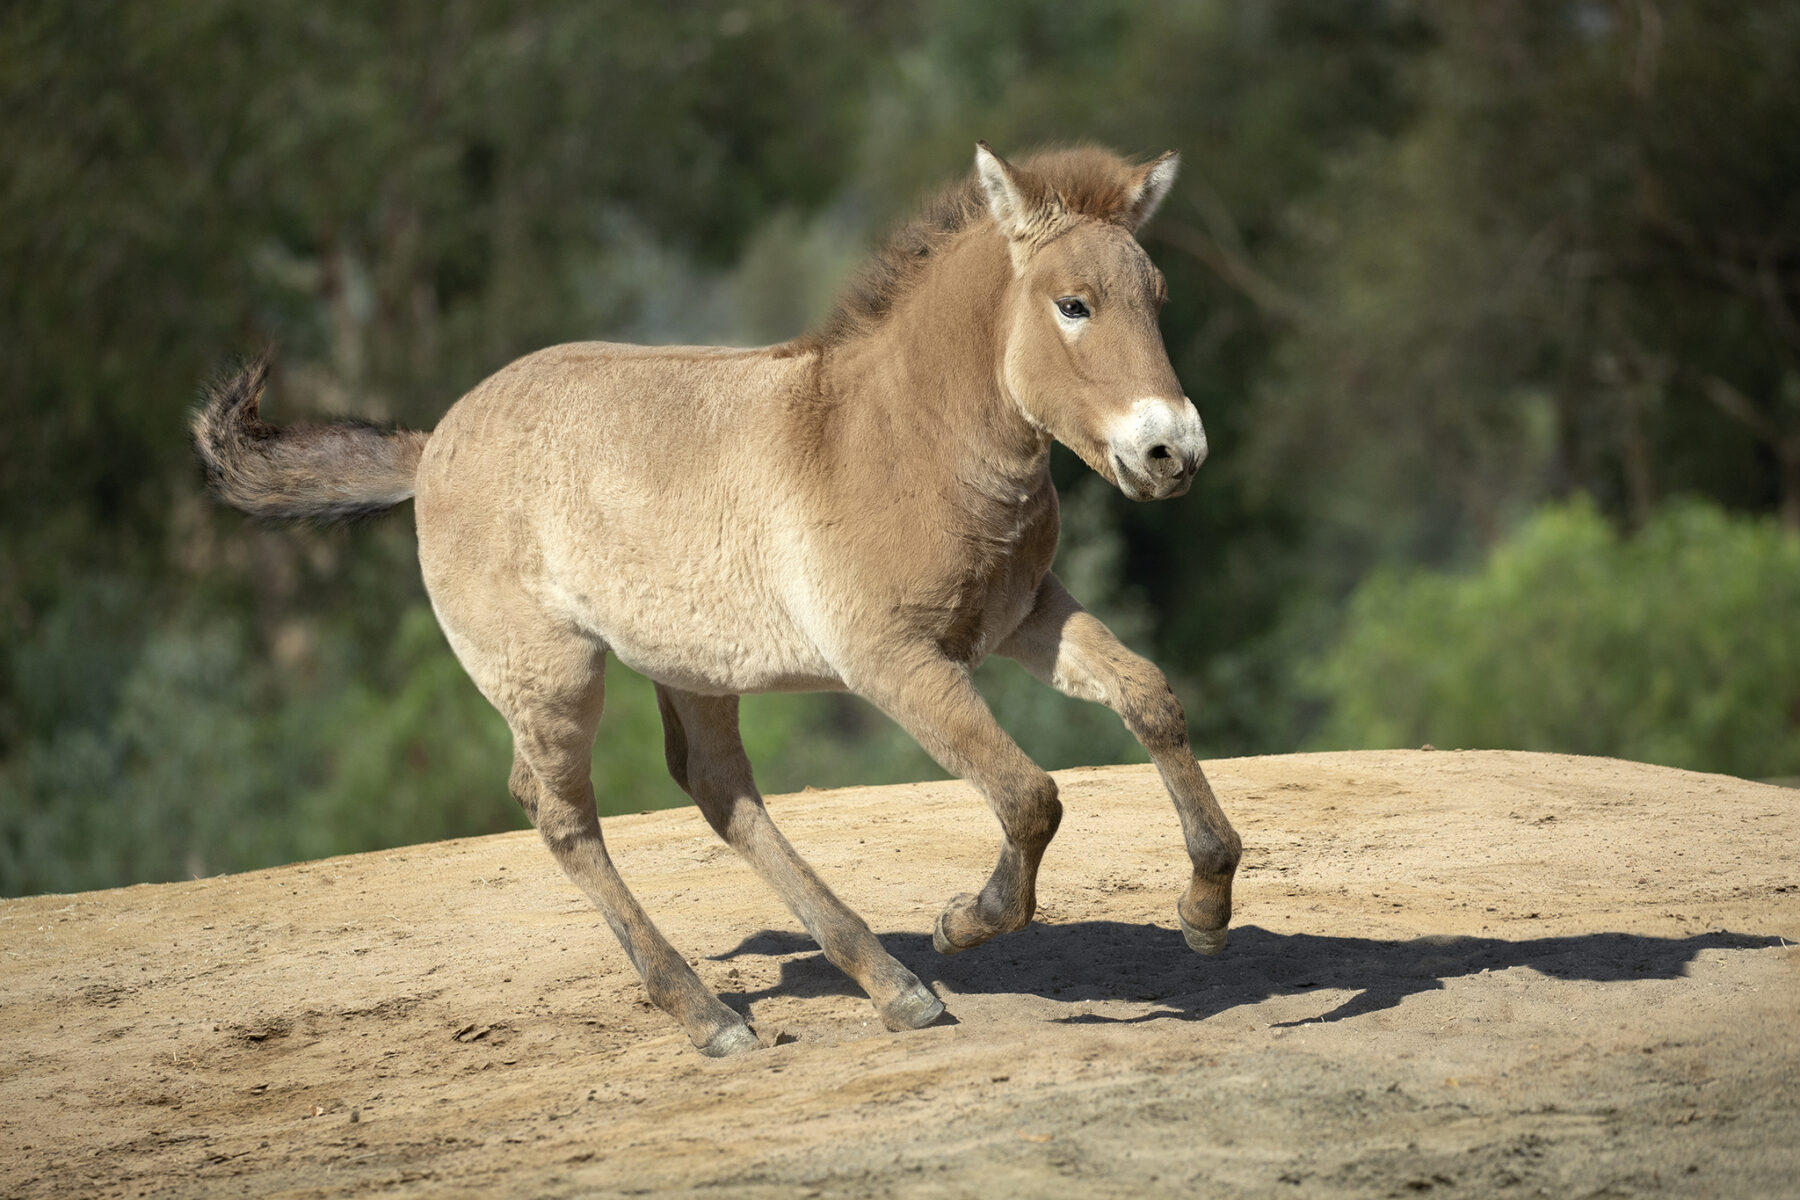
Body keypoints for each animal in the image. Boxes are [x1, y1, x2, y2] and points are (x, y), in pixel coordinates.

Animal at [194, 142, 1242, 1056]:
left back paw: (890, 987)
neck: (901, 440)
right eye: (1074, 304)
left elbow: (1150, 697)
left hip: (690, 666)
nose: (1173, 452)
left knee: (716, 789)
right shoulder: (898, 664)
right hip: (553, 675)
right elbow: (1029, 796)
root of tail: (432, 447)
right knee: (560, 812)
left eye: (1156, 298)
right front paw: (964, 922)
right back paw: (710, 1017)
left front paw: (1206, 908)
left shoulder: (1023, 617)